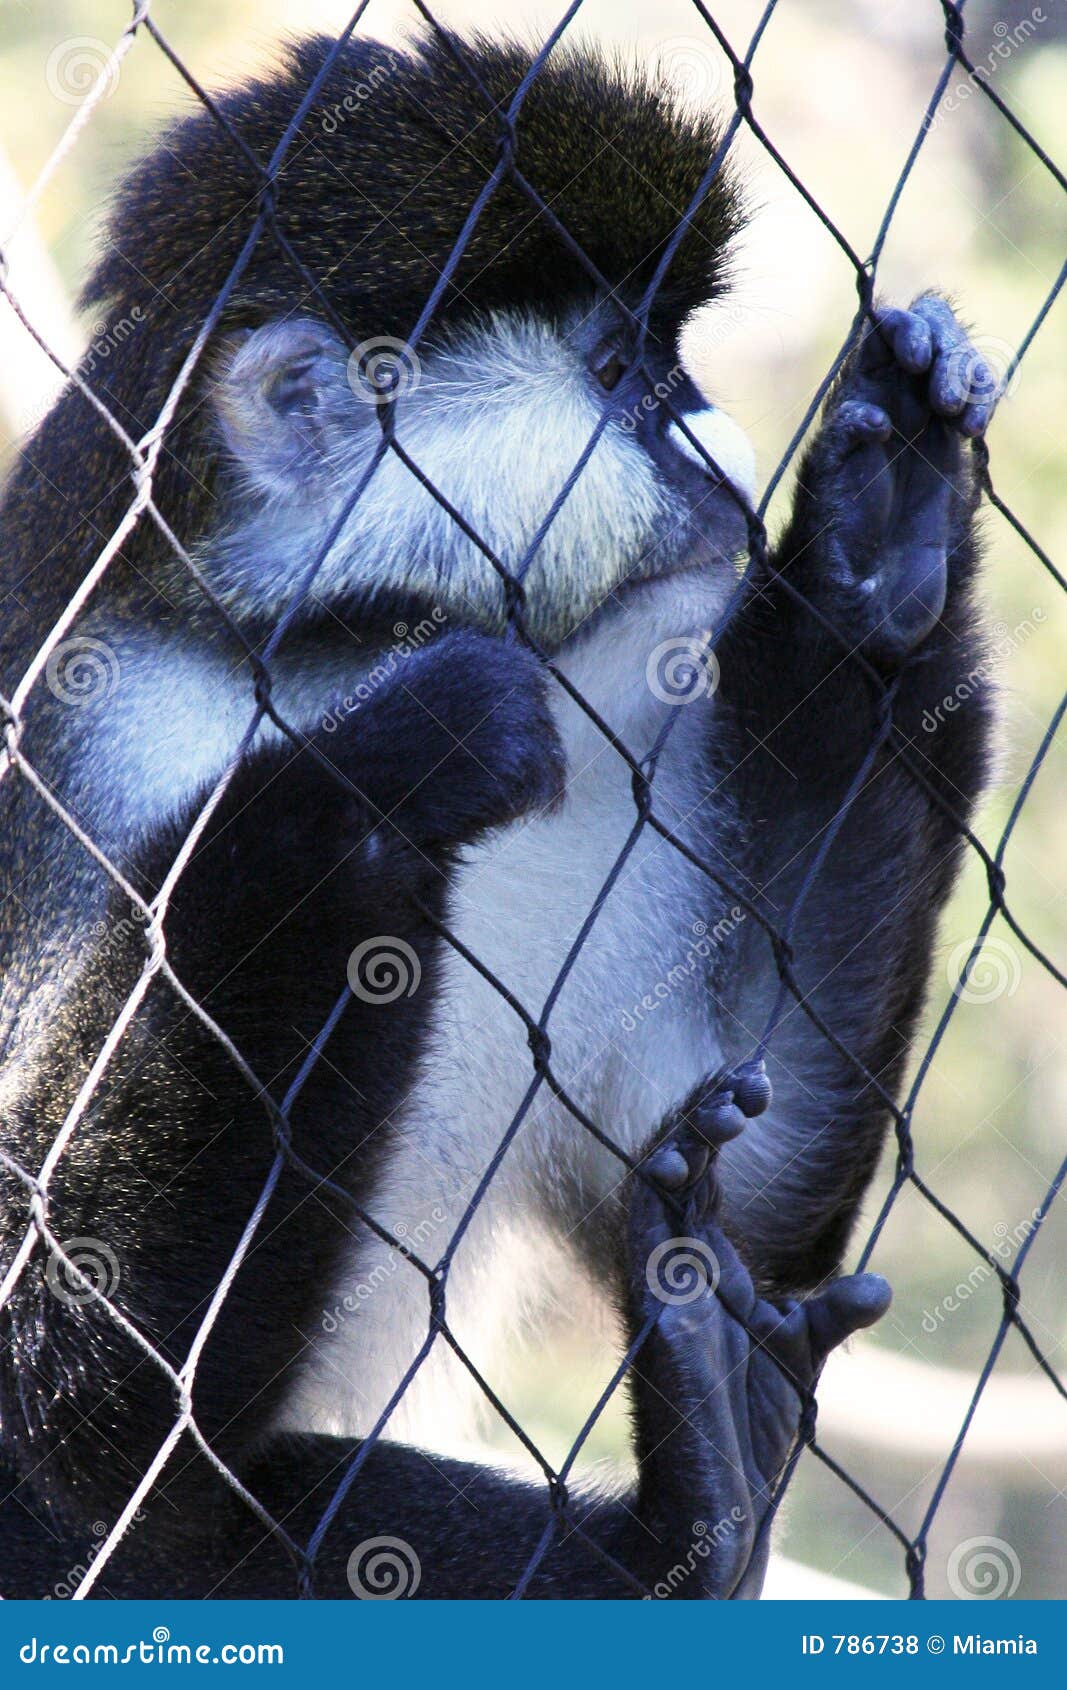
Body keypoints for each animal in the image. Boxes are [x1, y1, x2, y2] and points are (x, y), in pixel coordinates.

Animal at [0, 30, 994, 1597]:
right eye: (621, 369)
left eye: (667, 354)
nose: (711, 438)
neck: (314, 641)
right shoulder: (72, 742)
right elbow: (60, 1413)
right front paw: (369, 777)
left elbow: (751, 1169)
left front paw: (871, 552)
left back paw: (704, 1470)